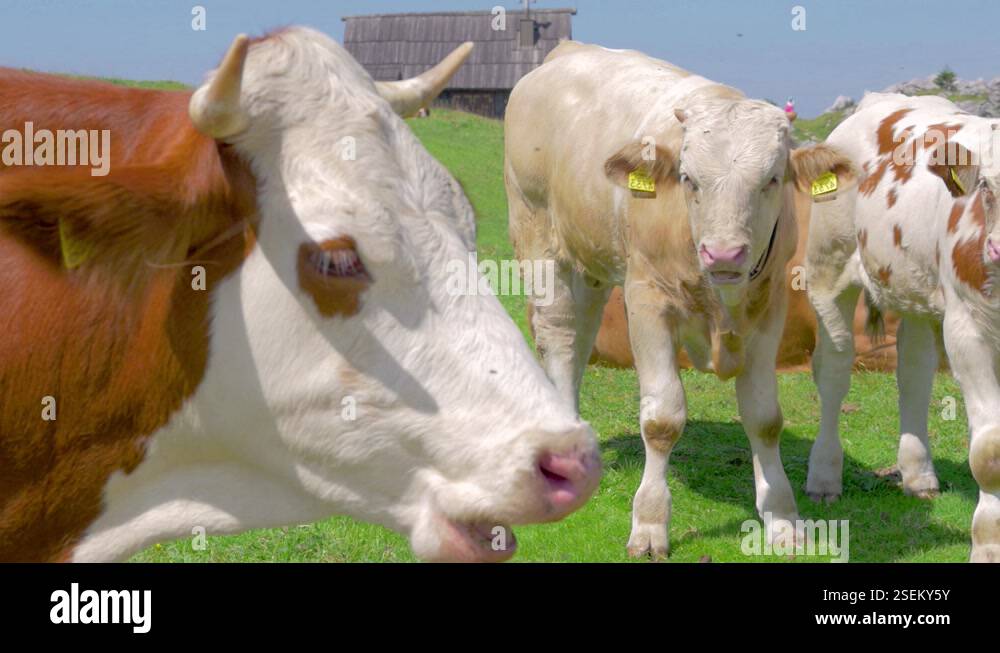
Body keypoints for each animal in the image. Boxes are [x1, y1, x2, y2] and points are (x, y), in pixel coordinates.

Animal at [504, 41, 854, 557]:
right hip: (538, 236)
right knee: (560, 336)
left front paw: (781, 518)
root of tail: (568, 52)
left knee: (583, 332)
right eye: (688, 178)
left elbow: (764, 417)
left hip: (592, 258)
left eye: (772, 178)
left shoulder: (769, 309)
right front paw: (650, 523)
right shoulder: (647, 301)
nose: (724, 252)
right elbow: (662, 419)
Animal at [805, 92, 1000, 561]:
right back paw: (823, 476)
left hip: (915, 294)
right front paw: (988, 544)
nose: (997, 249)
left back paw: (917, 473)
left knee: (913, 372)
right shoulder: (969, 332)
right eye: (987, 185)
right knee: (833, 371)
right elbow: (989, 453)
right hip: (828, 267)